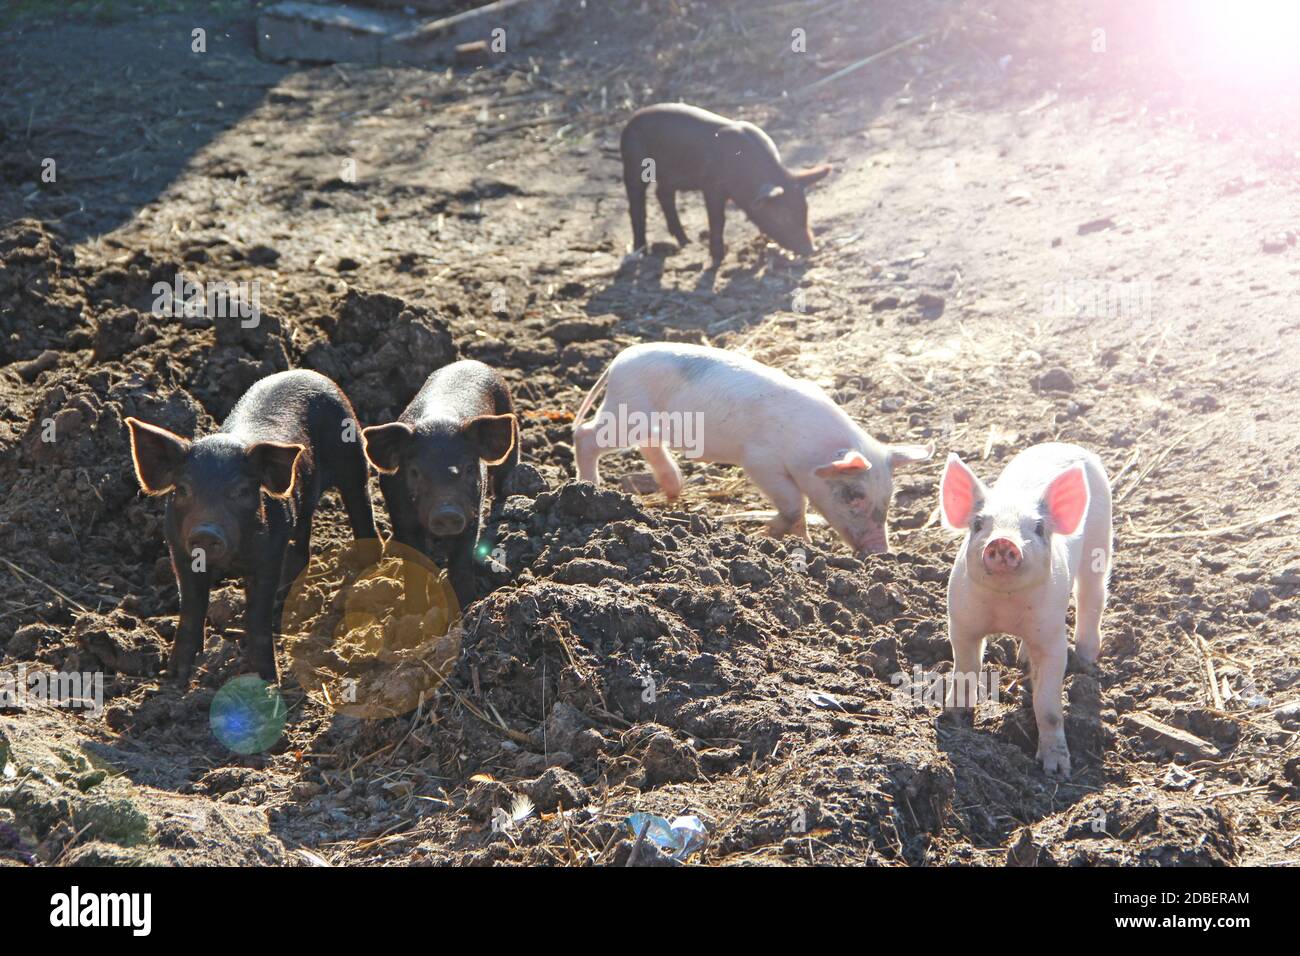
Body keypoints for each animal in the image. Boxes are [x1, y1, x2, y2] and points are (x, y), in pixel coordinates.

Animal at [126, 370, 378, 685]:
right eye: (183, 489)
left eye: (242, 491)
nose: (206, 532)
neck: (232, 562)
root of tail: (310, 373)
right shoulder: (179, 550)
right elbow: (192, 609)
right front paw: (174, 677)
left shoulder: (269, 556)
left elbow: (258, 615)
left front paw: (267, 678)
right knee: (302, 544)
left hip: (352, 458)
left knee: (361, 508)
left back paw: (369, 573)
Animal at [361, 360, 518, 608]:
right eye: (415, 472)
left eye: (469, 468)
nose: (447, 512)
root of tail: (473, 362)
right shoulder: (401, 516)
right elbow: (415, 560)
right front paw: (414, 608)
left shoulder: (472, 512)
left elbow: (461, 562)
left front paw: (466, 606)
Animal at [573, 343, 932, 553]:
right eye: (855, 496)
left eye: (889, 498)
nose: (881, 552)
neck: (809, 446)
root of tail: (618, 361)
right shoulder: (759, 460)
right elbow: (795, 504)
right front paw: (769, 538)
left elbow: (799, 509)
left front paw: (799, 543)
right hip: (624, 413)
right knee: (584, 435)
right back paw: (590, 488)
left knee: (649, 445)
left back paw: (675, 492)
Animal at [620, 103, 832, 266]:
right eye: (783, 216)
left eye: (806, 210)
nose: (811, 249)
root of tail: (630, 121)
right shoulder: (711, 186)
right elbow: (718, 220)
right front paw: (716, 260)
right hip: (632, 163)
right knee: (636, 206)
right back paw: (641, 252)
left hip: (670, 176)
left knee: (663, 194)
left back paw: (686, 241)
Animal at [938, 443, 1113, 776]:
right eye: (978, 524)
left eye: (1039, 527)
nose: (1003, 541)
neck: (1005, 606)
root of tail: (1066, 444)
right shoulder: (961, 622)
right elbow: (966, 669)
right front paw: (952, 718)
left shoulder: (1052, 637)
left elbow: (1048, 707)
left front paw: (1056, 769)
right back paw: (1022, 659)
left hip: (1101, 541)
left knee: (1092, 596)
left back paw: (1087, 659)